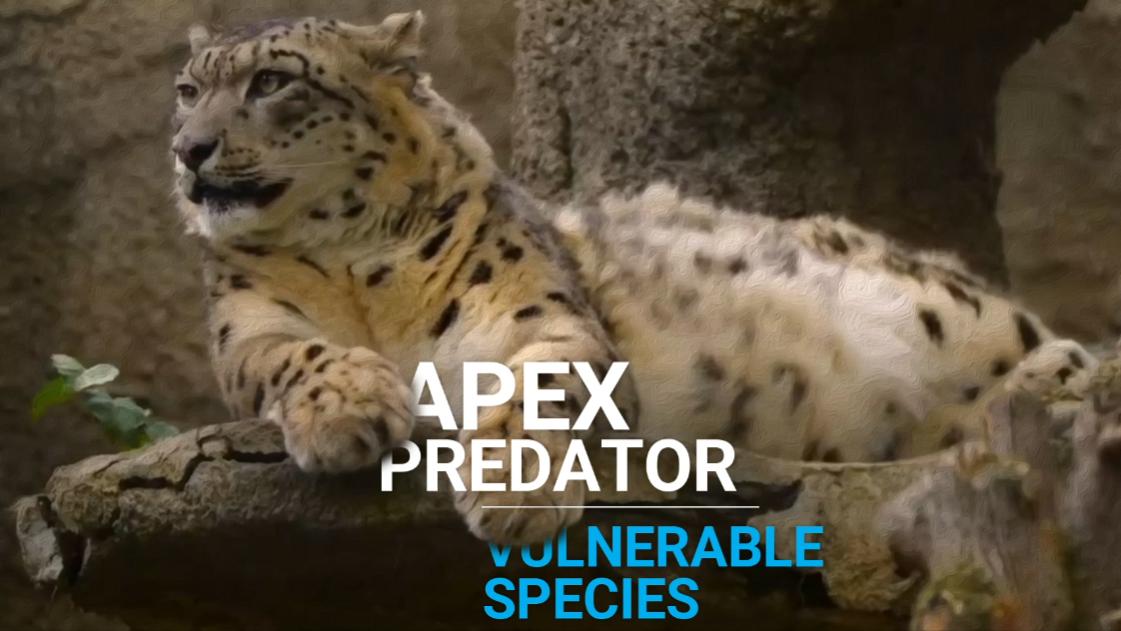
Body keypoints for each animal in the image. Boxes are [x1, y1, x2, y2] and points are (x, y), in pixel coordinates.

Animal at [171, 12, 1096, 545]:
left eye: (272, 79)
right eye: (185, 90)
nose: (188, 150)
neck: (358, 267)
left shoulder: (535, 312)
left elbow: (533, 382)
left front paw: (512, 496)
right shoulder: (250, 327)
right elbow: (296, 355)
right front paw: (345, 411)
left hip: (950, 307)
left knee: (1040, 343)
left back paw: (1056, 374)